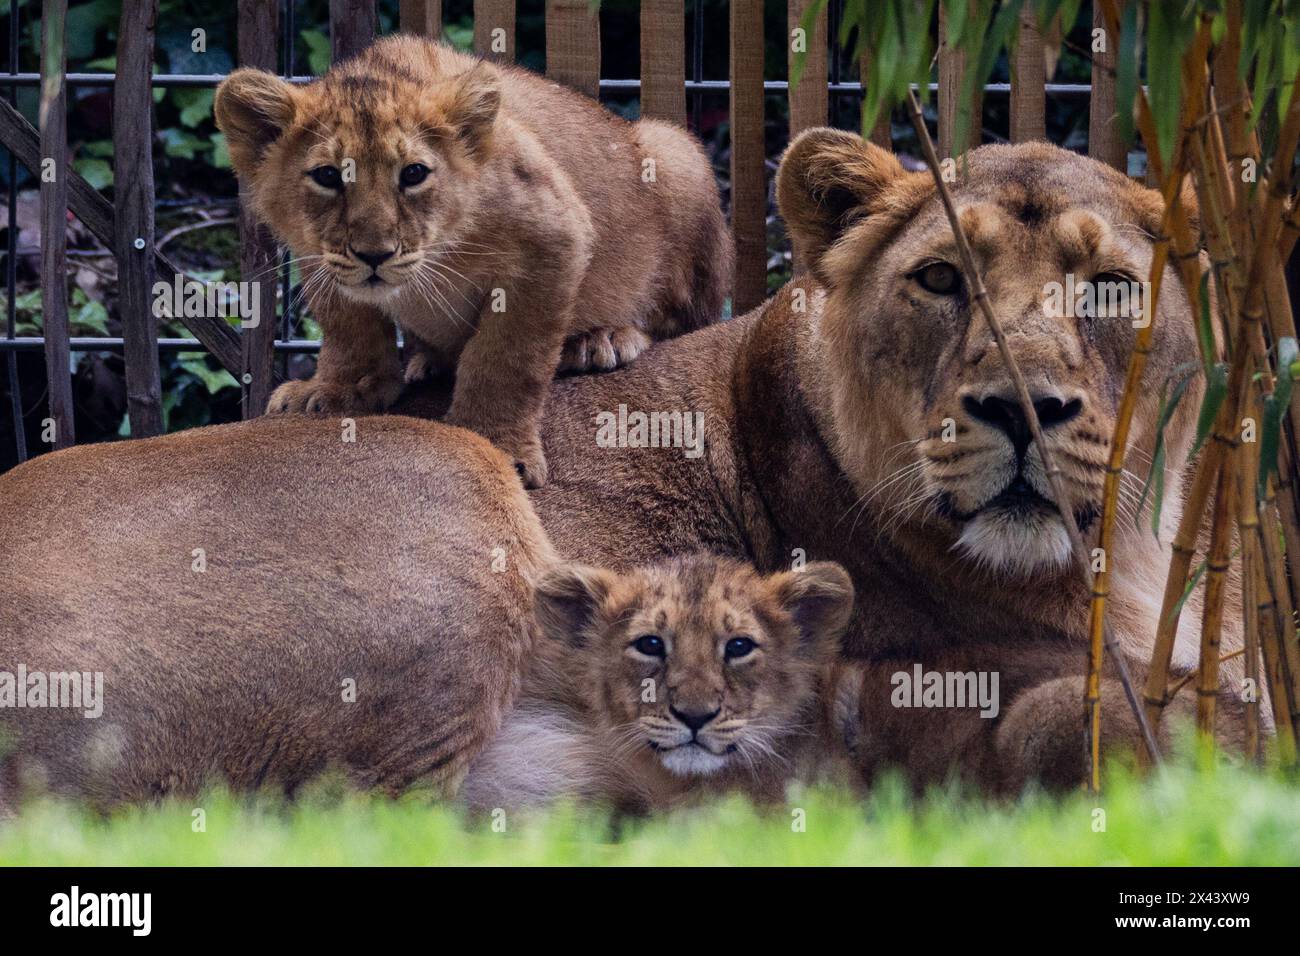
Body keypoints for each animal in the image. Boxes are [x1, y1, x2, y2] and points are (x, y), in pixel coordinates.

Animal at [214, 34, 732, 487]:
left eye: (414, 174)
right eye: (326, 176)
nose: (374, 254)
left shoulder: (554, 236)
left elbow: (506, 357)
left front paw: (496, 444)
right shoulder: (317, 254)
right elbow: (348, 328)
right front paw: (339, 391)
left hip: (675, 152)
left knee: (685, 320)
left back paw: (601, 339)